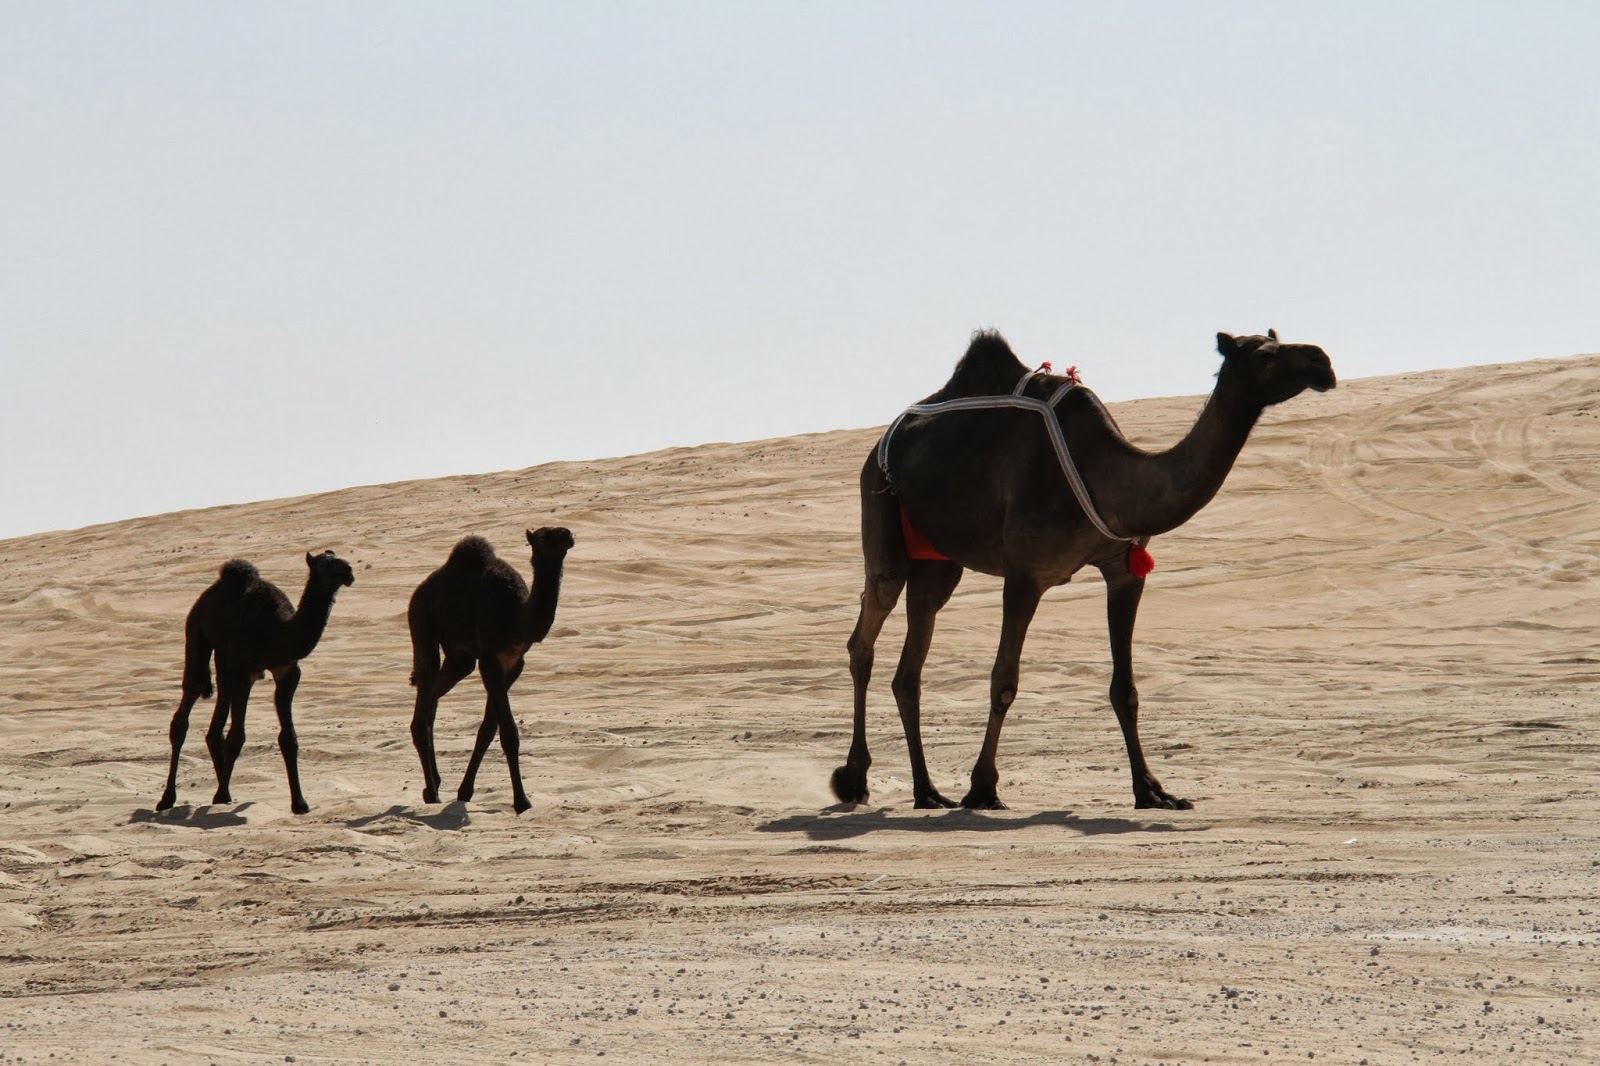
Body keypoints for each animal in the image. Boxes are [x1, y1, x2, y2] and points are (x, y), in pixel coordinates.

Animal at [157, 550, 356, 814]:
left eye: (338, 559)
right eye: (325, 564)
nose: (348, 571)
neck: (277, 631)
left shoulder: (287, 671)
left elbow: (288, 738)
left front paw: (299, 803)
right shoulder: (246, 672)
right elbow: (236, 737)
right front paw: (220, 796)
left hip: (224, 659)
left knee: (215, 725)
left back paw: (224, 788)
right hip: (197, 635)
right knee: (189, 701)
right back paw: (168, 798)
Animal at [408, 527, 575, 814]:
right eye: (544, 536)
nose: (568, 534)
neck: (516, 618)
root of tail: (420, 588)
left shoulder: (514, 663)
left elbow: (488, 727)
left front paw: (465, 791)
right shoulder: (490, 659)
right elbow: (508, 732)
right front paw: (522, 801)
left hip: (459, 657)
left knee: (432, 700)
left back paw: (435, 783)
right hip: (421, 621)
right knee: (425, 684)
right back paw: (432, 792)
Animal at [833, 329, 1336, 811]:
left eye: (1278, 339)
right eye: (1264, 355)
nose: (1322, 361)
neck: (1110, 477)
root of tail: (881, 441)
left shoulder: (1126, 570)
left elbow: (1124, 689)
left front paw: (1153, 791)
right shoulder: (1025, 574)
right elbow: (1003, 681)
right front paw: (983, 788)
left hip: (938, 561)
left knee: (910, 665)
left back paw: (927, 791)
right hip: (880, 505)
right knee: (866, 634)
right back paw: (855, 780)